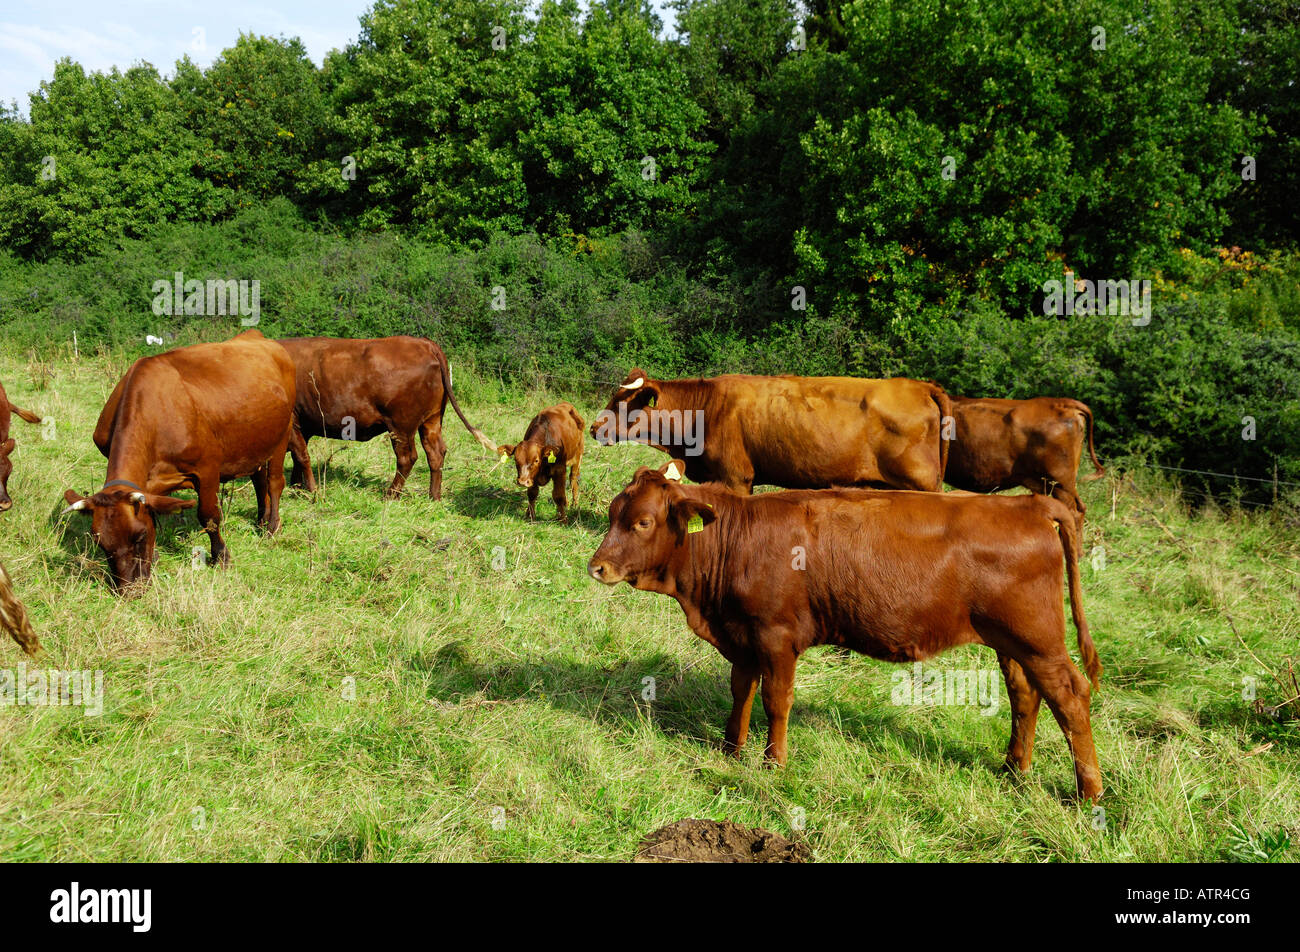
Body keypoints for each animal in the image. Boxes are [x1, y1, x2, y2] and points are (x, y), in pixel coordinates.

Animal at [61, 330, 296, 590]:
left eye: (139, 536)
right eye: (101, 544)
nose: (130, 591)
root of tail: (256, 336)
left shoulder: (207, 468)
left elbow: (209, 516)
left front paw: (221, 557)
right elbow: (153, 512)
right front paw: (154, 558)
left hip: (283, 433)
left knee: (274, 483)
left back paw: (272, 527)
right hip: (256, 443)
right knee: (259, 482)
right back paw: (261, 520)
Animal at [278, 336, 496, 499]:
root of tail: (424, 344)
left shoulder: (293, 423)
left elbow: (302, 456)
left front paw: (311, 491)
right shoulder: (303, 425)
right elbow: (298, 457)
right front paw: (297, 487)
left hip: (401, 425)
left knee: (407, 458)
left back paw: (391, 494)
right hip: (431, 420)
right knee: (435, 453)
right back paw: (433, 496)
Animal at [588, 460, 1103, 801]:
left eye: (643, 522)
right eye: (612, 513)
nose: (597, 568)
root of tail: (1029, 503)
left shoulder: (776, 635)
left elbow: (776, 699)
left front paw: (773, 762)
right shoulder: (742, 635)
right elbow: (741, 690)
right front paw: (731, 749)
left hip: (1038, 639)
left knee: (1069, 695)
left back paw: (1088, 792)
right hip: (1010, 641)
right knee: (1025, 694)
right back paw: (1014, 768)